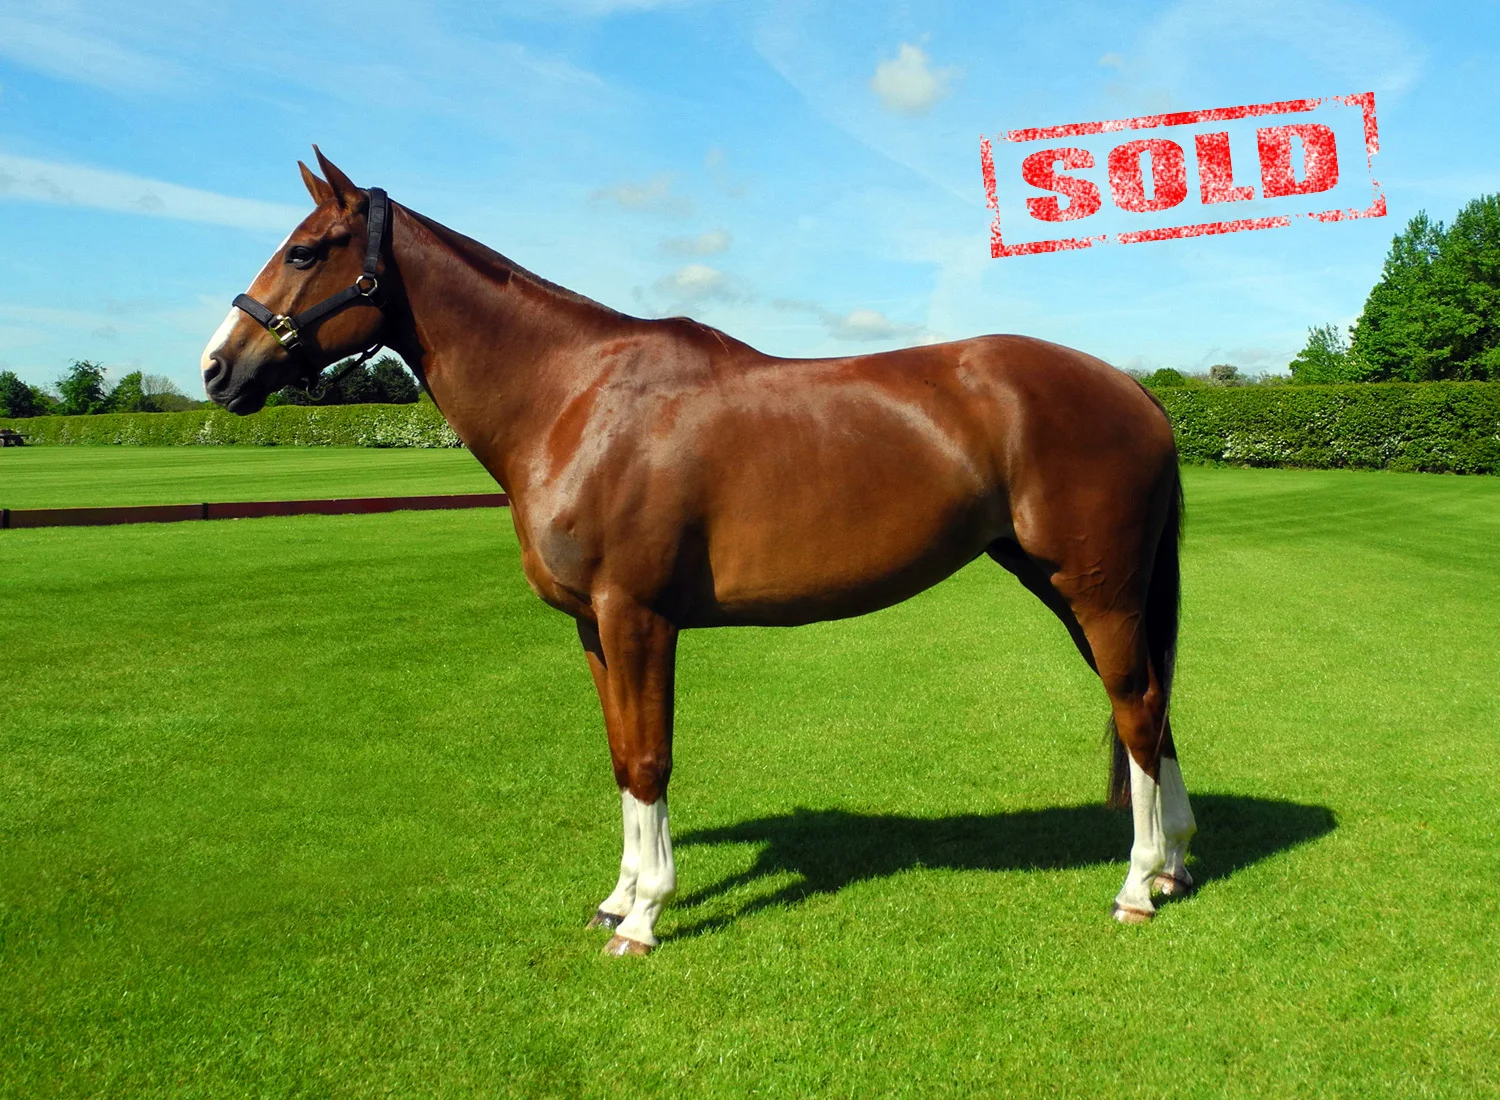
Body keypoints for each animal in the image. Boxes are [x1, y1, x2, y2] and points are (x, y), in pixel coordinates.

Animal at [201, 149, 1197, 955]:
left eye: (305, 251)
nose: (217, 369)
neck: (574, 399)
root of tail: (1136, 394)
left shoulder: (638, 616)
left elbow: (650, 759)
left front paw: (645, 916)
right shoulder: (594, 628)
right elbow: (619, 755)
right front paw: (617, 897)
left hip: (1097, 588)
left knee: (1136, 709)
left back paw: (1136, 888)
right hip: (1076, 587)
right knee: (1150, 706)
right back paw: (1174, 864)